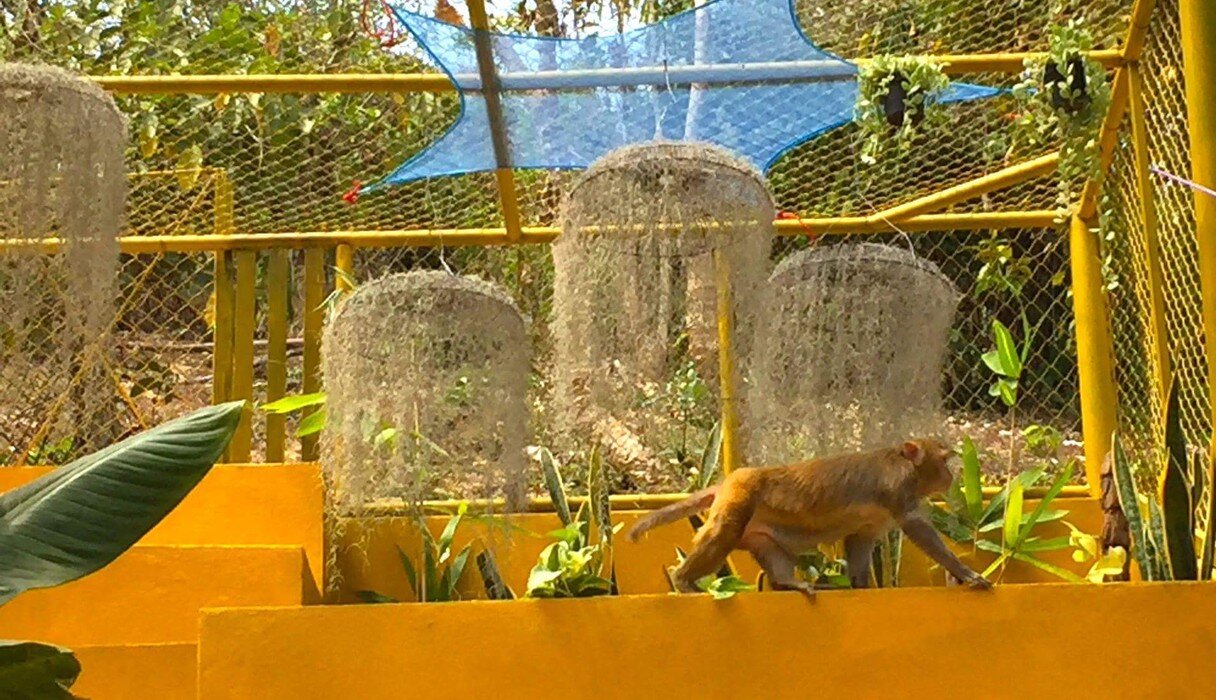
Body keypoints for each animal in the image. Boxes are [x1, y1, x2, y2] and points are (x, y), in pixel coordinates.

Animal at [627, 439, 992, 596]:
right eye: (944, 459)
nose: (951, 476)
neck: (905, 466)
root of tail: (729, 479)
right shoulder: (899, 492)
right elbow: (919, 530)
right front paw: (967, 573)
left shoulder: (876, 519)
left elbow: (860, 540)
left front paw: (860, 586)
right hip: (740, 497)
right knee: (725, 532)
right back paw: (683, 581)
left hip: (756, 525)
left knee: (768, 547)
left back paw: (786, 582)